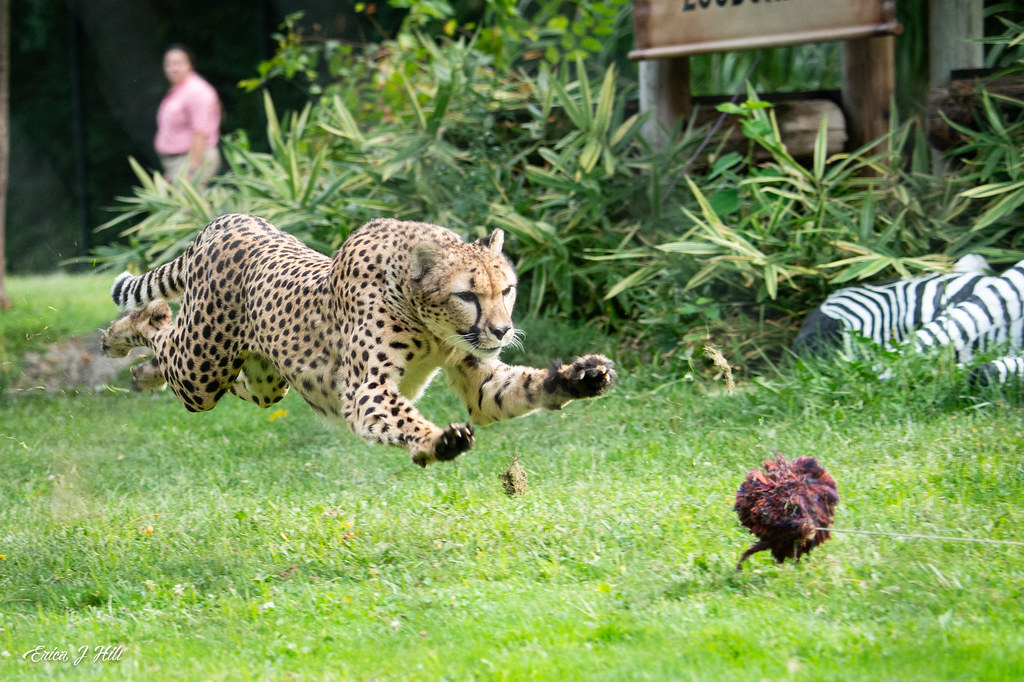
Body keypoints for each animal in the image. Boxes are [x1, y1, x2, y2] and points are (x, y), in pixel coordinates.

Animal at [101, 214, 616, 467]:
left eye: (506, 289)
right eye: (467, 294)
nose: (502, 330)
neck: (428, 322)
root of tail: (231, 219)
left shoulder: (477, 375)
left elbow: (517, 388)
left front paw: (580, 377)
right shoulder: (366, 390)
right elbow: (401, 415)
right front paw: (438, 440)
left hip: (267, 379)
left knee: (230, 378)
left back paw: (144, 370)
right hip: (201, 371)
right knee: (165, 338)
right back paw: (122, 337)